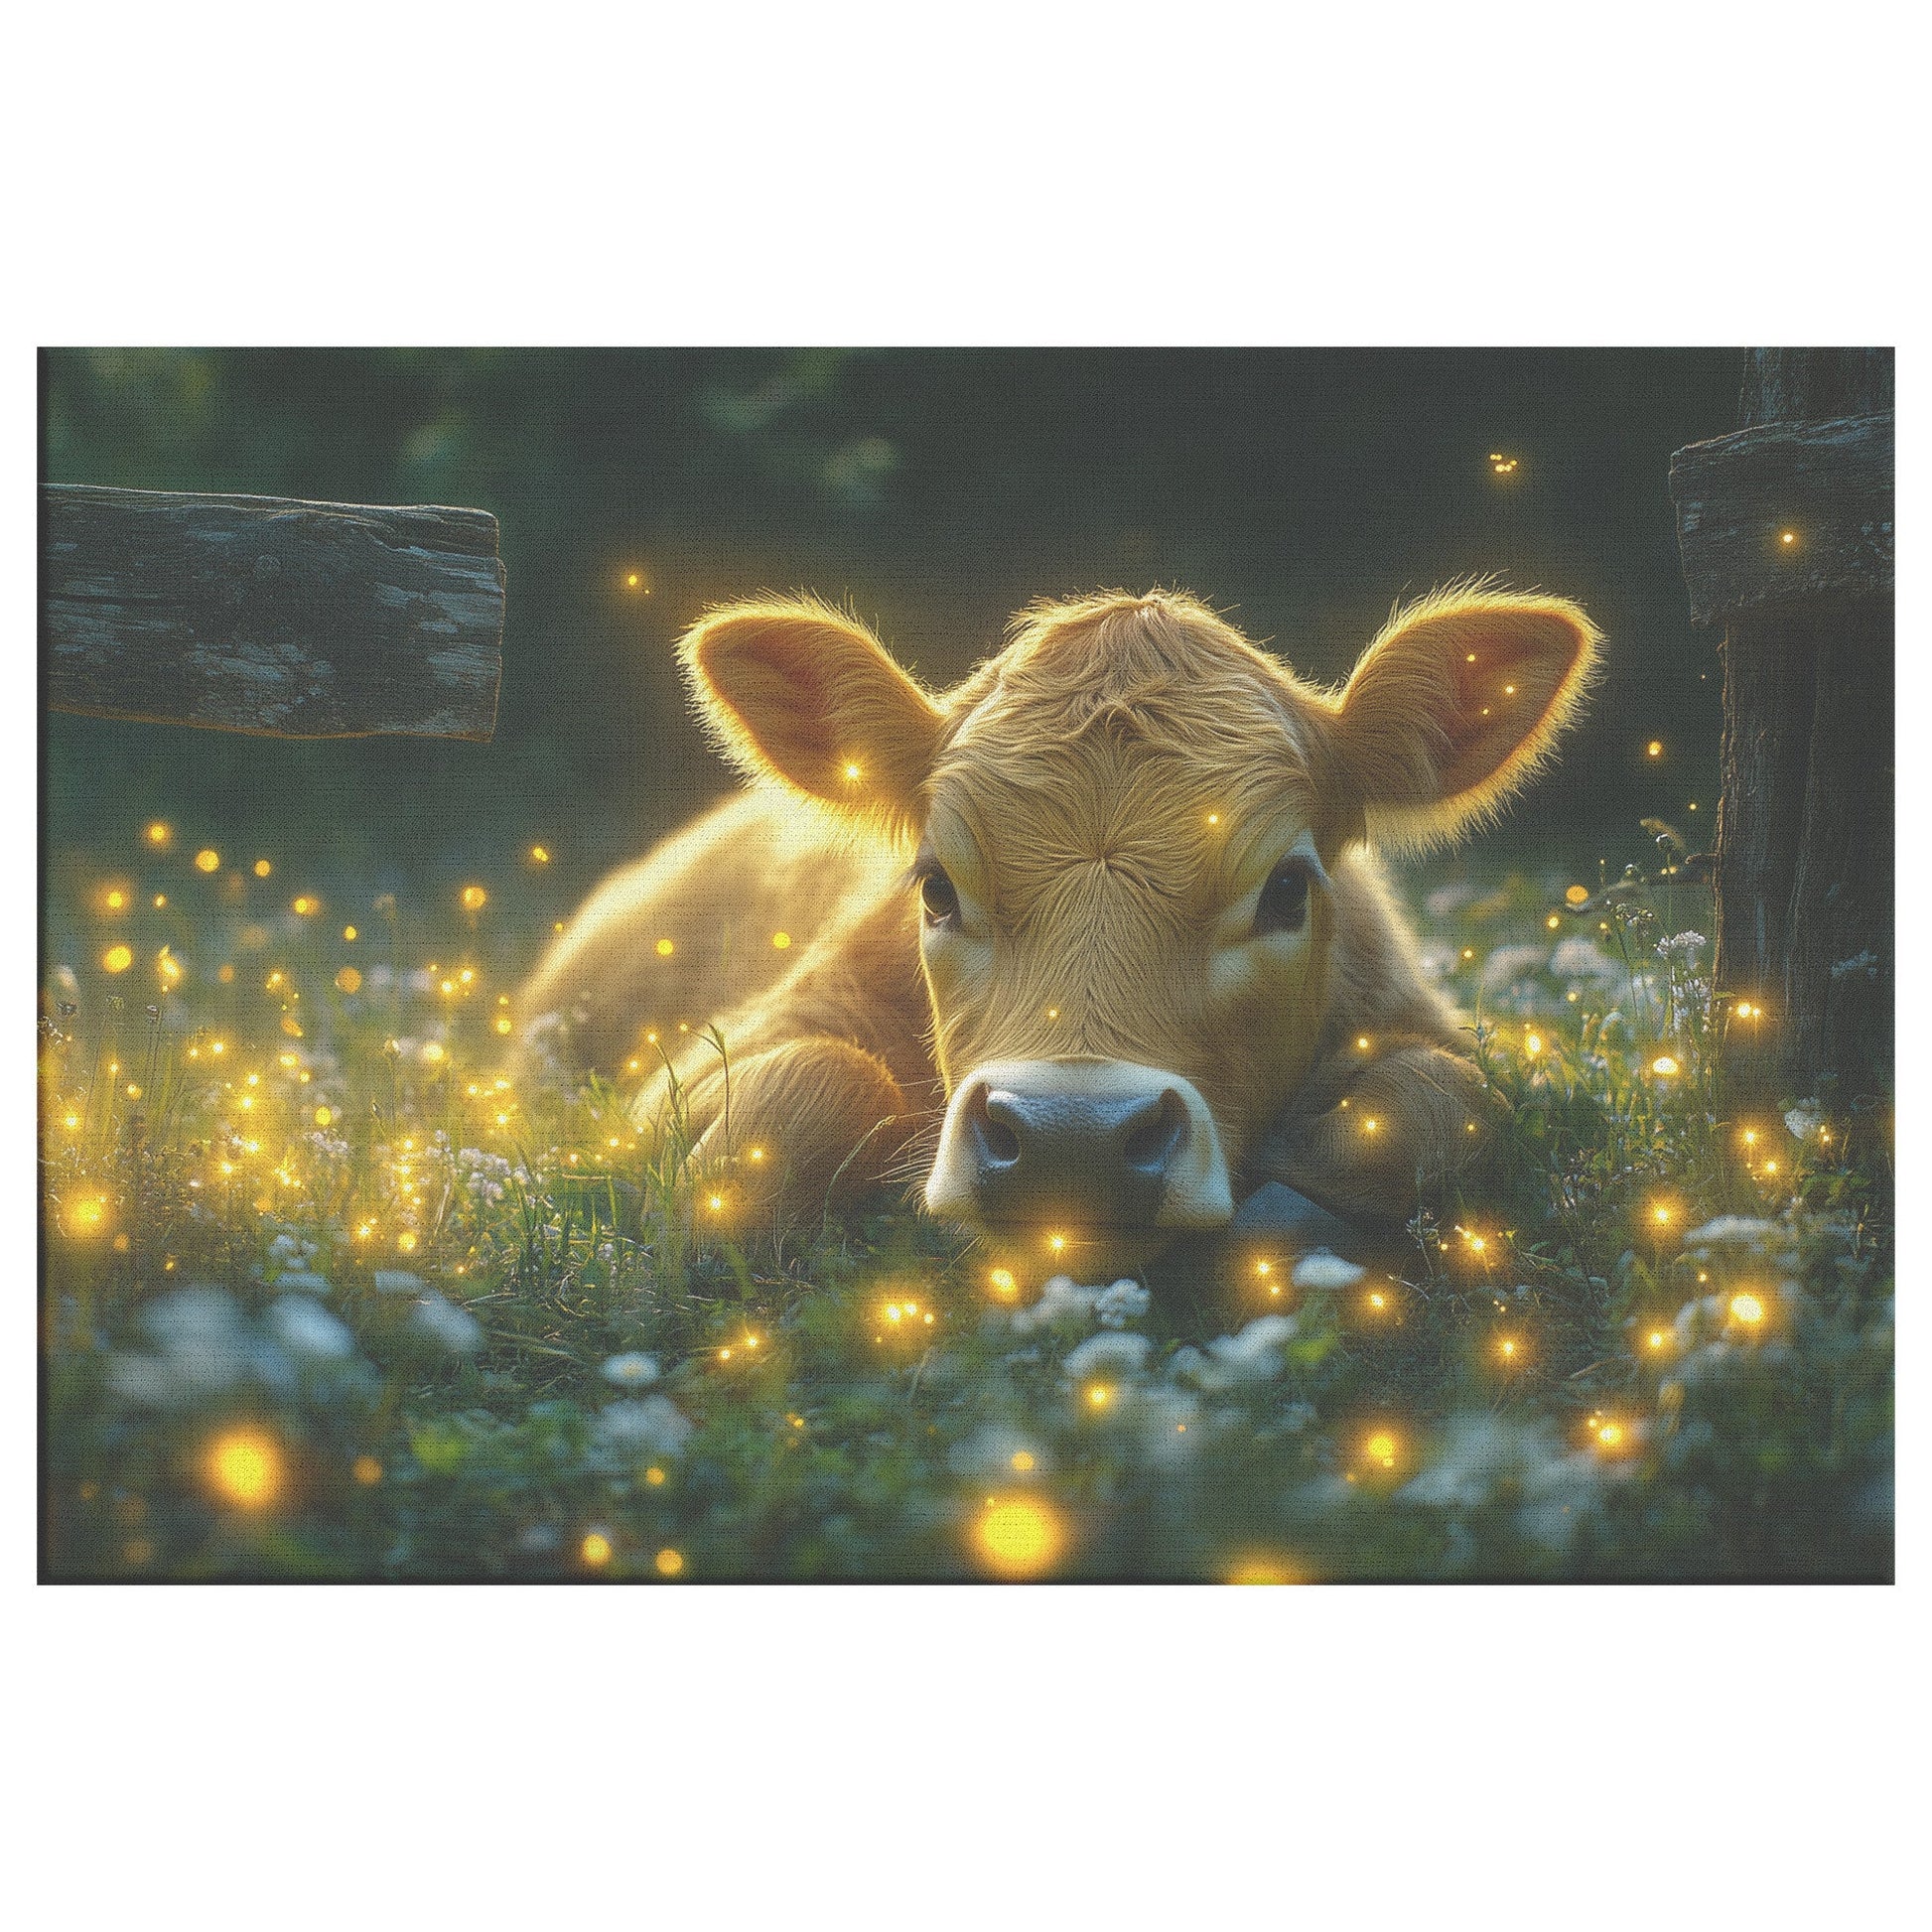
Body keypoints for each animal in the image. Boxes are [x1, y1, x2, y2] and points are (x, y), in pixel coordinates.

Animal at [516, 585, 1599, 1284]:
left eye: (1288, 890)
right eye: (935, 887)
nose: (1067, 1140)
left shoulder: (1428, 1028)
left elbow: (1445, 1100)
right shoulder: (677, 1079)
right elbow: (820, 1079)